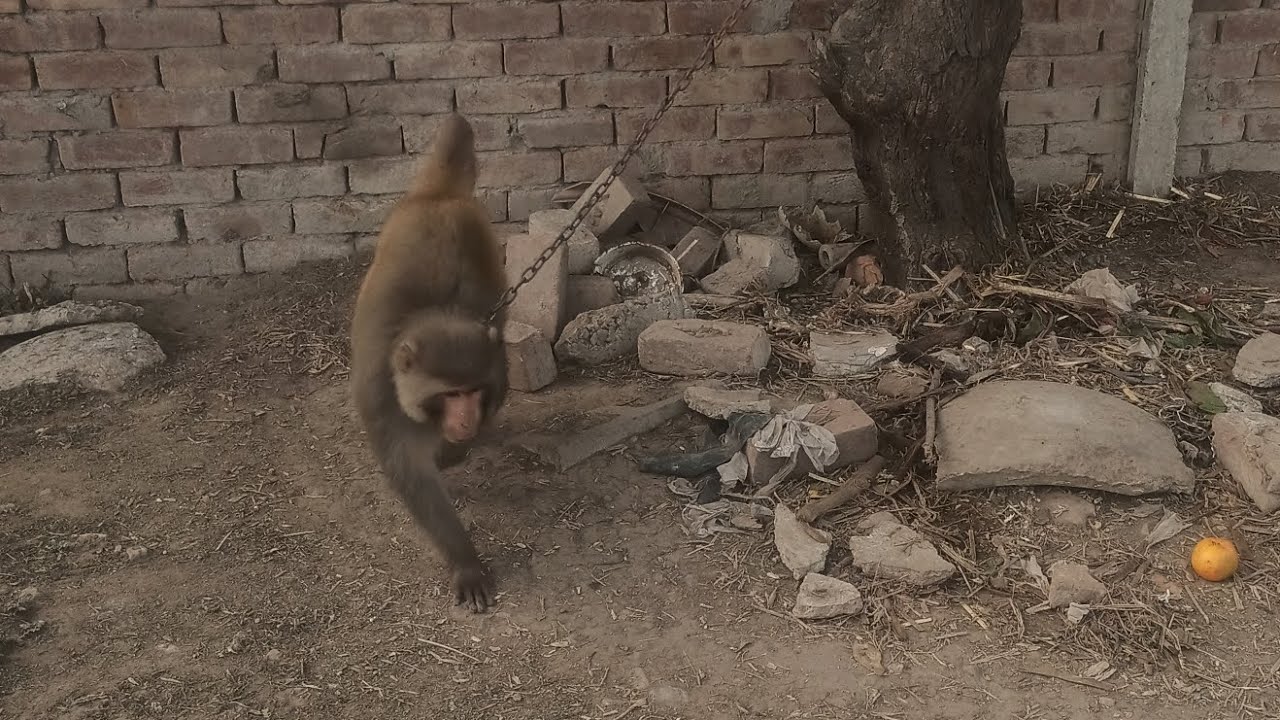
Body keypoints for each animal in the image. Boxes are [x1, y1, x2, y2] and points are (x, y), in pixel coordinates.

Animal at [349, 113, 509, 613]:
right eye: (450, 393)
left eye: (472, 391)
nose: (466, 418)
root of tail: (437, 195)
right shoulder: (380, 400)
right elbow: (413, 476)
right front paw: (467, 563)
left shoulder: (495, 364)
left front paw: (458, 447)